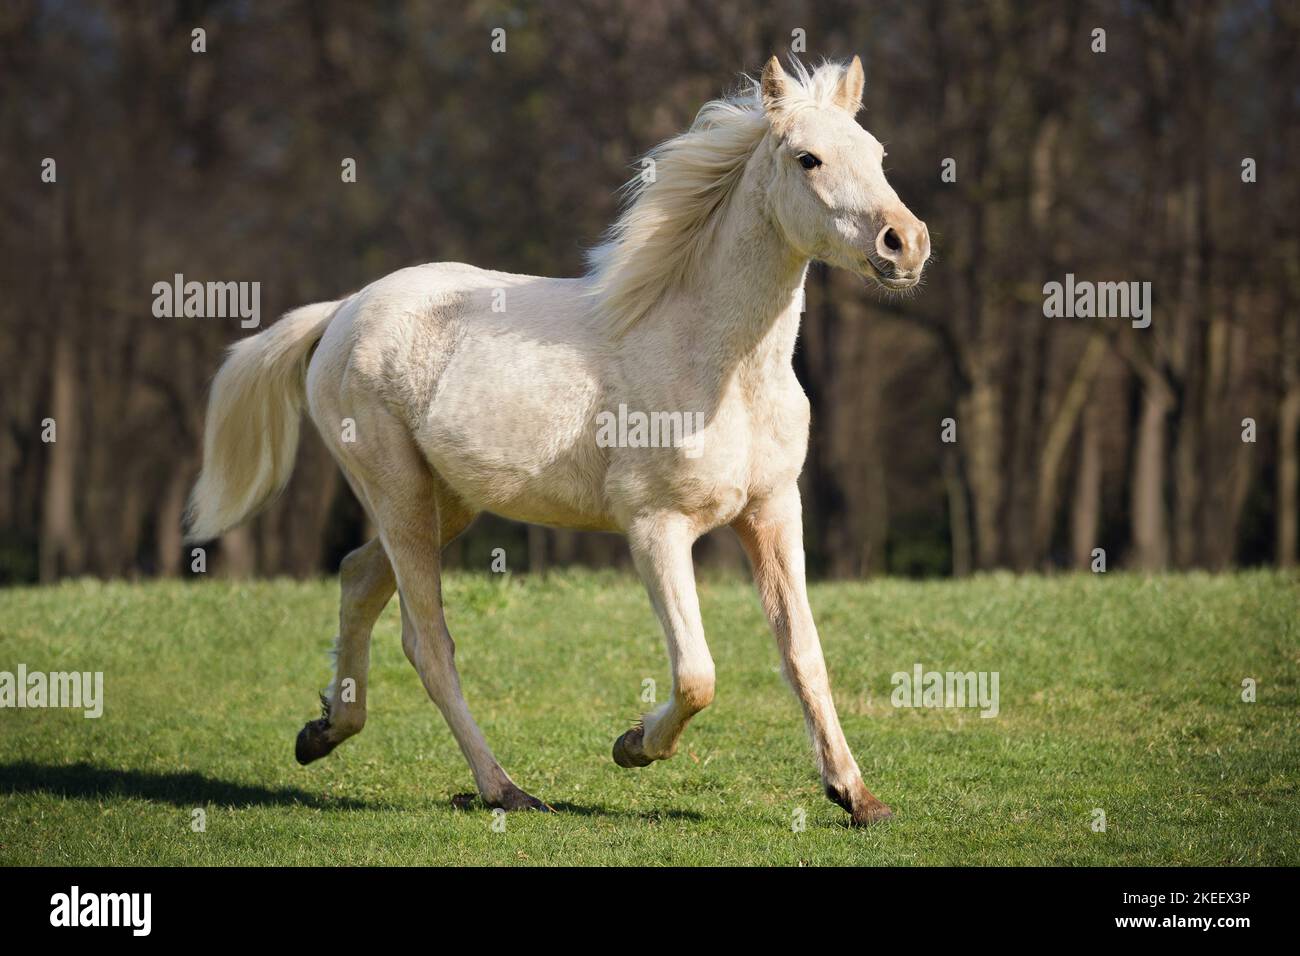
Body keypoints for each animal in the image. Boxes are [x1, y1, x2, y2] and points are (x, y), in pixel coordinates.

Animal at [185, 55, 930, 826]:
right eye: (807, 158)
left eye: (876, 154)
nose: (904, 245)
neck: (716, 365)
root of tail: (341, 312)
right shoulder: (656, 526)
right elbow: (697, 674)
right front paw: (632, 747)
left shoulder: (773, 511)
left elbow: (804, 654)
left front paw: (858, 798)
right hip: (398, 493)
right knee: (428, 642)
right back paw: (503, 788)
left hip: (447, 501)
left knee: (359, 578)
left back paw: (324, 731)